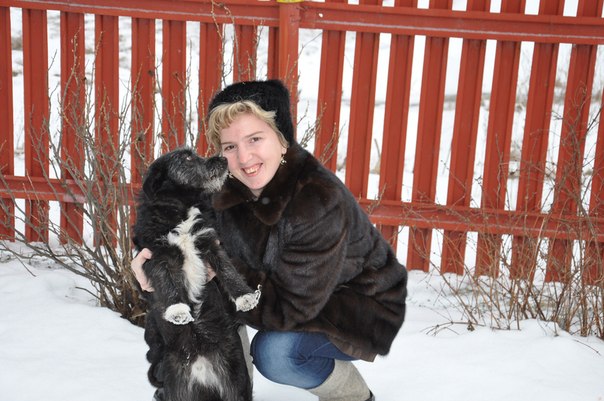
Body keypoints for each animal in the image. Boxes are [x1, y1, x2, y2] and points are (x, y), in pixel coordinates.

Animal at [133, 147, 259, 401]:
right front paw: (178, 309)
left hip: (236, 382)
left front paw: (244, 296)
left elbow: (227, 269)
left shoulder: (209, 243)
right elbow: (167, 281)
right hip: (176, 389)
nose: (224, 159)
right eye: (187, 158)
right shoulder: (157, 255)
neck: (182, 208)